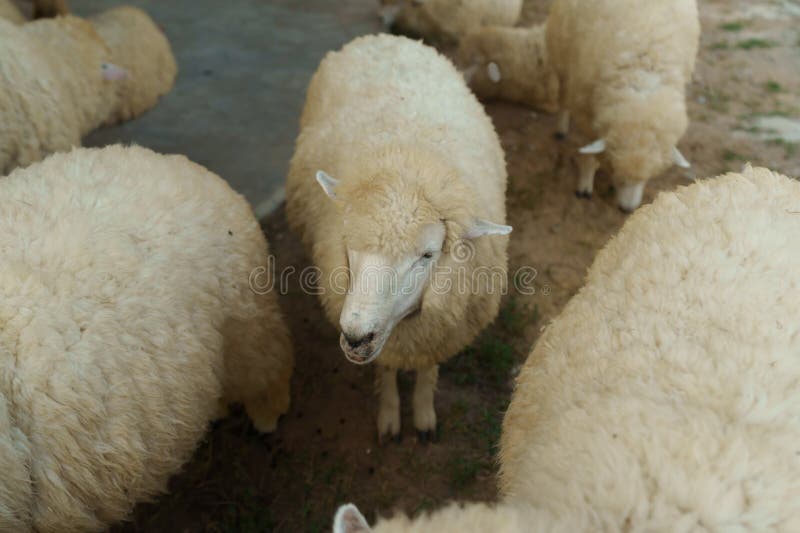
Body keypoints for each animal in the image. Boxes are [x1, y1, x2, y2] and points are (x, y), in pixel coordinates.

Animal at [286, 34, 511, 443]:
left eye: (428, 255)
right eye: (349, 242)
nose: (355, 336)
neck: (410, 157)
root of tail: (385, 38)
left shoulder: (439, 327)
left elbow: (427, 369)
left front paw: (423, 413)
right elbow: (387, 369)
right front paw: (390, 415)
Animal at [546, 0, 700, 212]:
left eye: (649, 176)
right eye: (616, 168)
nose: (627, 209)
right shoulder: (584, 110)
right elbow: (589, 155)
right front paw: (585, 183)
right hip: (560, 49)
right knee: (562, 95)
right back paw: (561, 127)